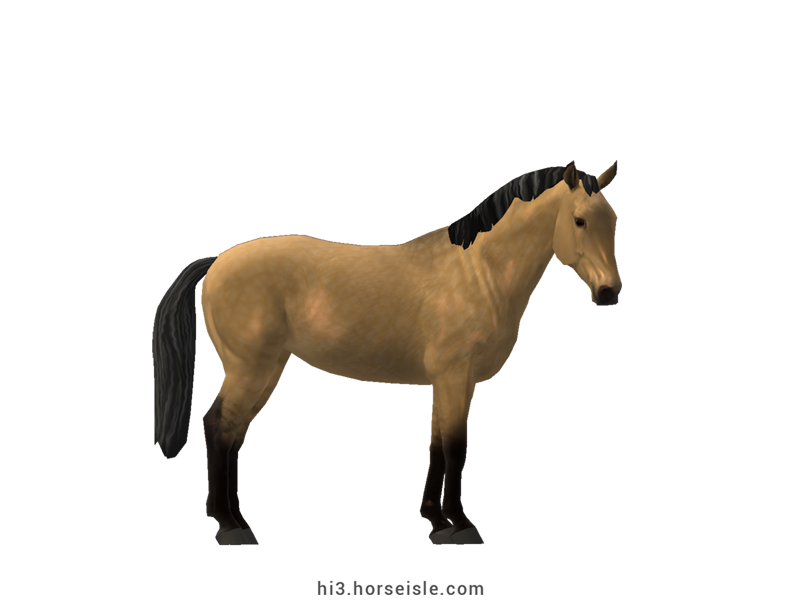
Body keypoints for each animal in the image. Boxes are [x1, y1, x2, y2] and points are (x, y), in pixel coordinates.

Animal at [152, 162, 621, 542]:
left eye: (614, 219)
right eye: (579, 220)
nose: (607, 292)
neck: (480, 271)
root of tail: (216, 262)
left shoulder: (446, 379)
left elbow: (437, 443)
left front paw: (435, 519)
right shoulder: (453, 374)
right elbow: (455, 446)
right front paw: (459, 523)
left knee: (229, 433)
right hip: (250, 369)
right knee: (218, 428)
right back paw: (228, 525)